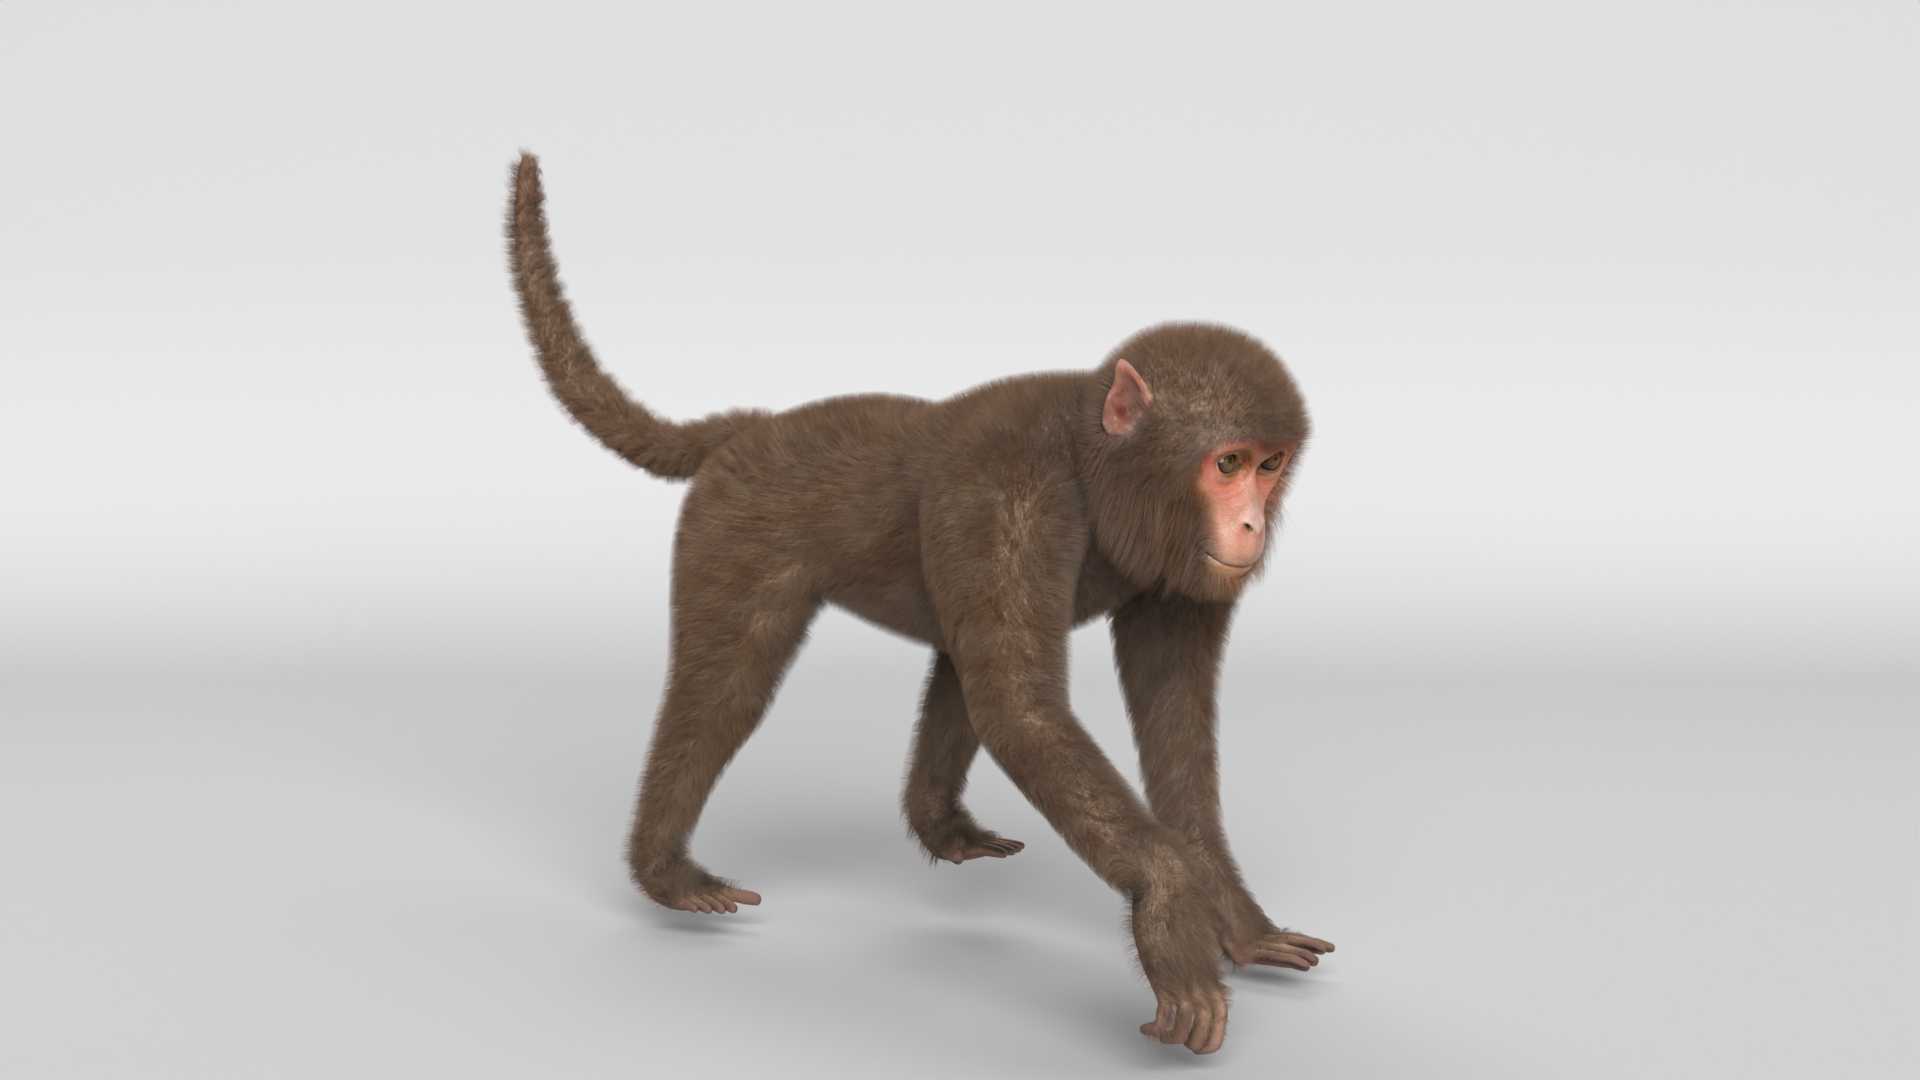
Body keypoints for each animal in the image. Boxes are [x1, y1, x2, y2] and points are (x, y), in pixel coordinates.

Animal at [506, 153, 1334, 1055]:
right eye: (1227, 464)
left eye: (1271, 464)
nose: (1251, 523)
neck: (1090, 463)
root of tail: (750, 430)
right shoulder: (1006, 495)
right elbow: (1022, 710)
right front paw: (1171, 912)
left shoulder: (1181, 571)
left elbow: (1168, 735)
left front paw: (1236, 922)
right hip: (731, 526)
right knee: (730, 683)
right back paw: (665, 874)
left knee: (956, 664)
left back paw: (940, 828)